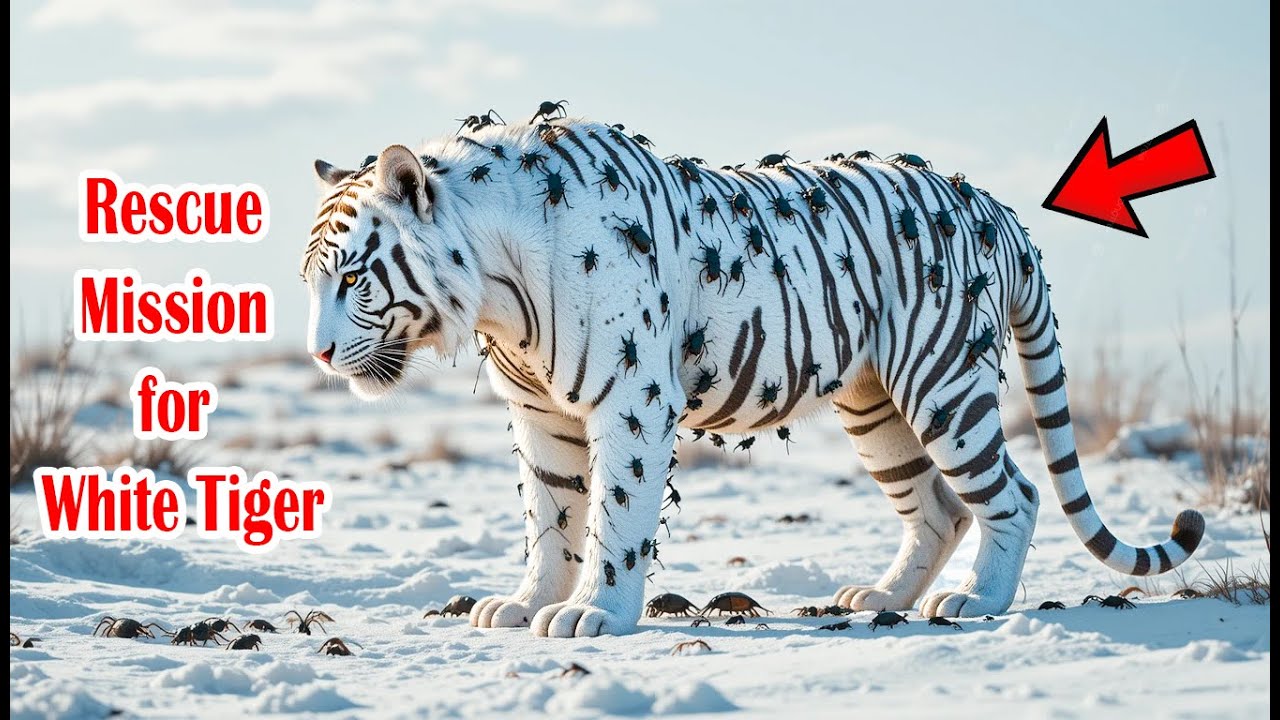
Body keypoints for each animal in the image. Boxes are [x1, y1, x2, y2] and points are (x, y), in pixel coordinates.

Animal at [302, 116, 1204, 637]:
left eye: (352, 279)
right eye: (314, 282)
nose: (317, 354)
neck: (494, 291)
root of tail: (997, 212)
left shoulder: (632, 401)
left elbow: (617, 515)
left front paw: (594, 614)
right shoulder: (541, 413)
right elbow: (552, 516)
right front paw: (525, 604)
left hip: (942, 383)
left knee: (1009, 493)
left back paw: (976, 603)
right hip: (877, 407)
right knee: (940, 509)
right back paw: (882, 599)